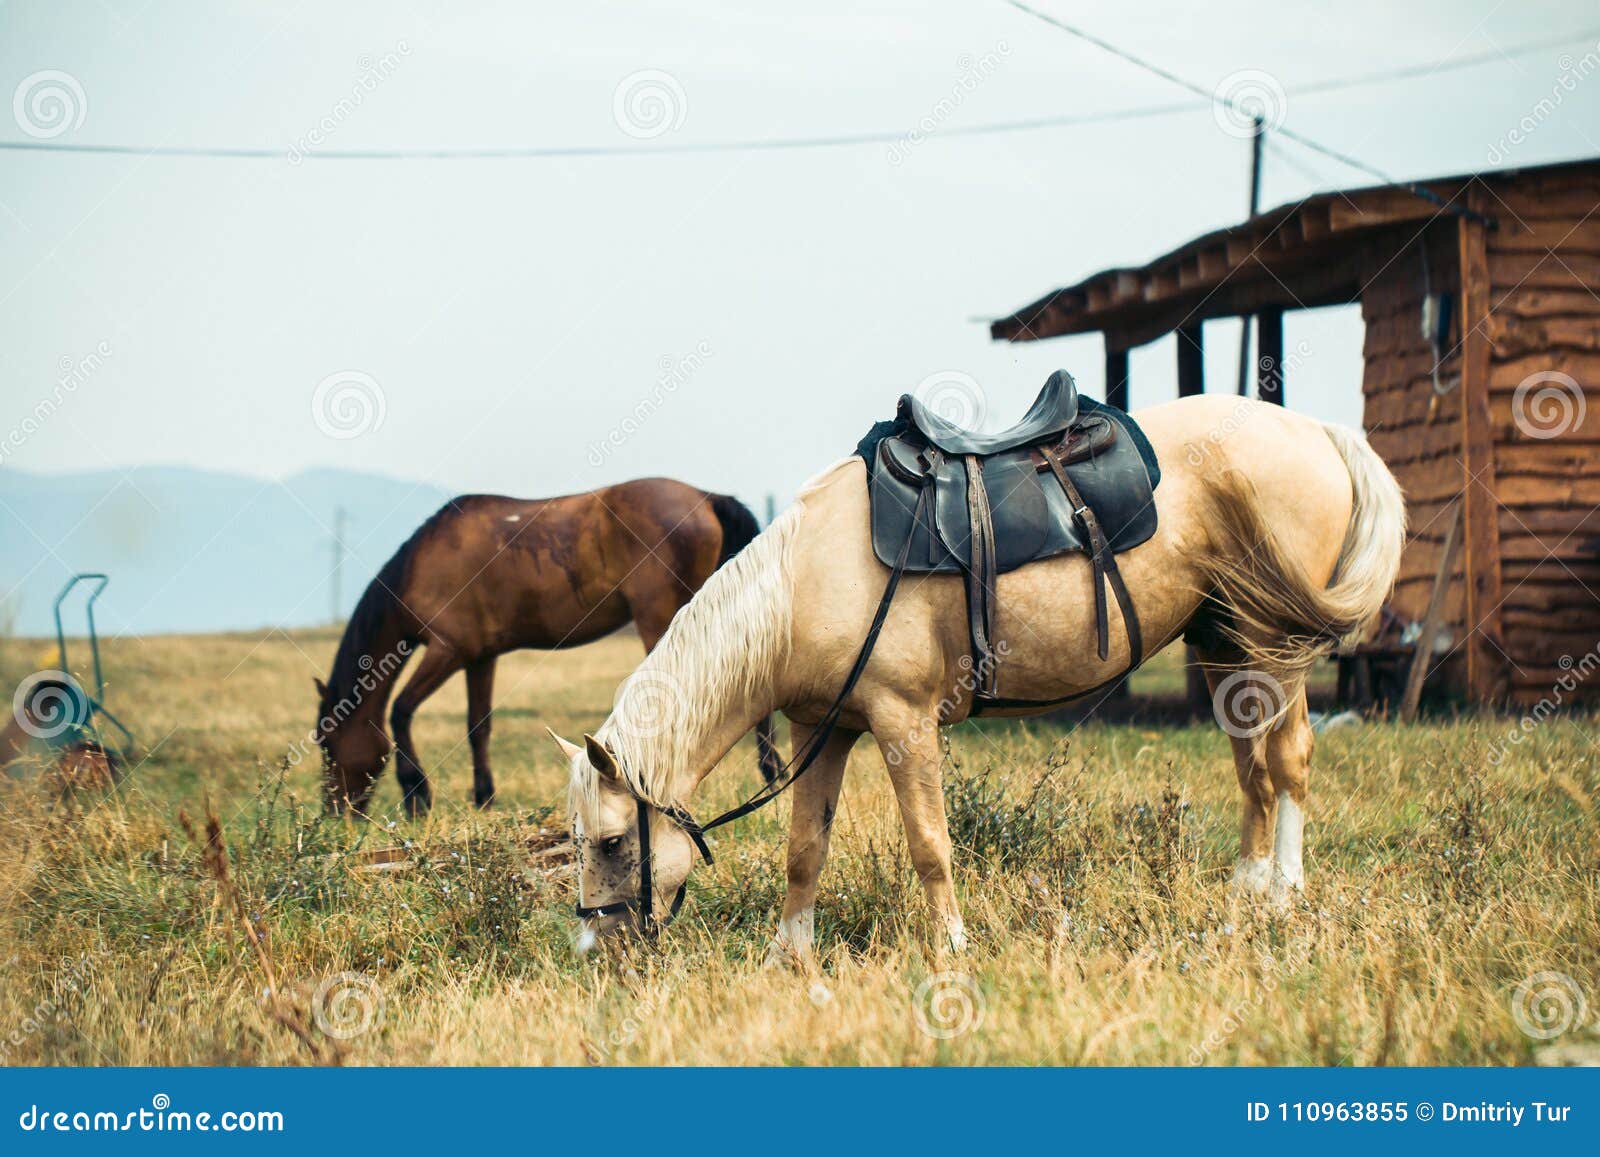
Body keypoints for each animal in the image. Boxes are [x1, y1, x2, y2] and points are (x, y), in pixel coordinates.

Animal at [316, 477, 782, 815]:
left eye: (327, 744)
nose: (335, 813)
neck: (426, 561)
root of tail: (705, 498)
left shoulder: (447, 651)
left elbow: (401, 712)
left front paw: (417, 797)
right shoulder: (480, 658)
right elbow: (477, 725)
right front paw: (484, 798)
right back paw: (771, 770)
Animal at [552, 394, 1406, 962]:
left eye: (613, 840)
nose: (592, 949)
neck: (805, 582)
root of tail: (1316, 430)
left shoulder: (902, 722)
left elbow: (930, 844)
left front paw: (953, 947)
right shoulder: (823, 728)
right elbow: (805, 847)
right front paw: (788, 956)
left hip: (1273, 647)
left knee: (1287, 761)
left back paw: (1284, 896)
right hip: (1226, 645)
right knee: (1252, 771)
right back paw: (1242, 896)